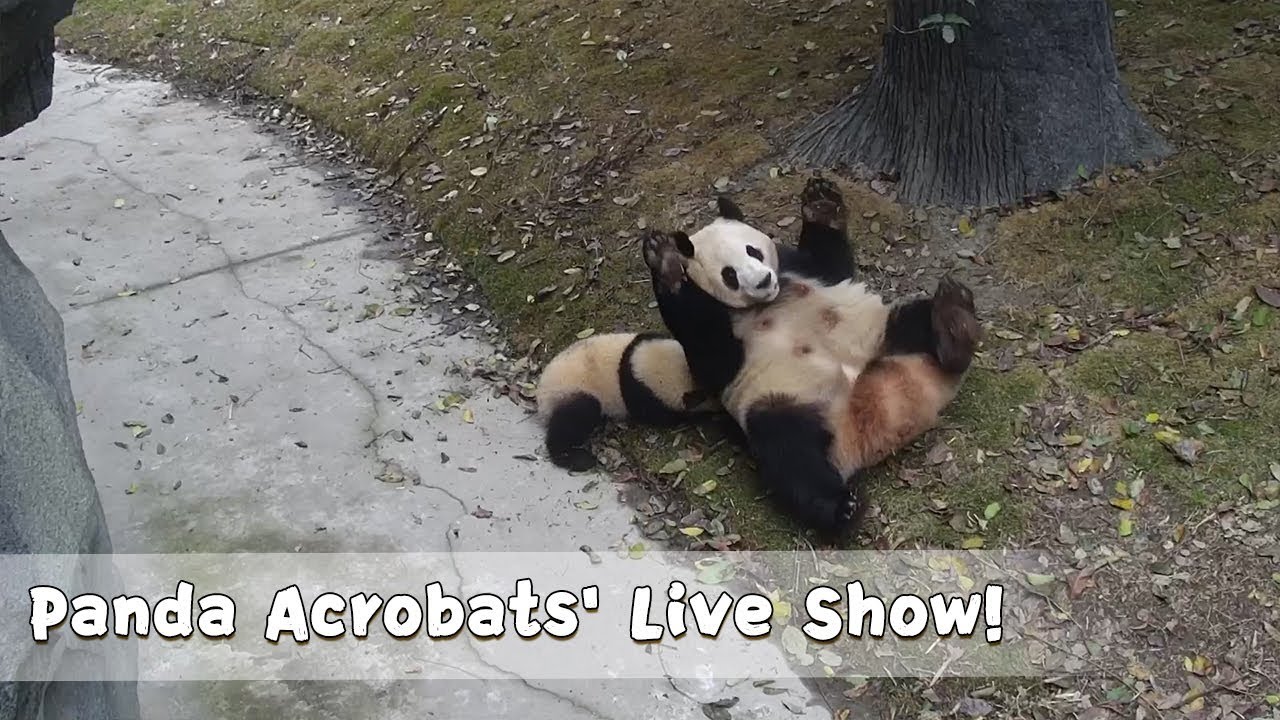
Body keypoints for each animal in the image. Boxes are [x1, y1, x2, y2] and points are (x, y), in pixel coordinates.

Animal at [535, 332, 718, 471]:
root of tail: (541, 394)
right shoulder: (642, 396)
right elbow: (661, 417)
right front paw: (700, 417)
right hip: (571, 391)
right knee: (575, 418)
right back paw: (577, 459)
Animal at [641, 176, 980, 538]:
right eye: (729, 274)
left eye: (753, 251)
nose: (763, 280)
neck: (765, 302)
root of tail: (870, 420)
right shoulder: (722, 342)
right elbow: (711, 356)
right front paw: (666, 262)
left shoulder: (795, 266)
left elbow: (830, 264)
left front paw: (821, 202)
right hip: (783, 399)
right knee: (792, 454)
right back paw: (842, 509)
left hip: (880, 332)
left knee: (916, 321)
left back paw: (954, 322)